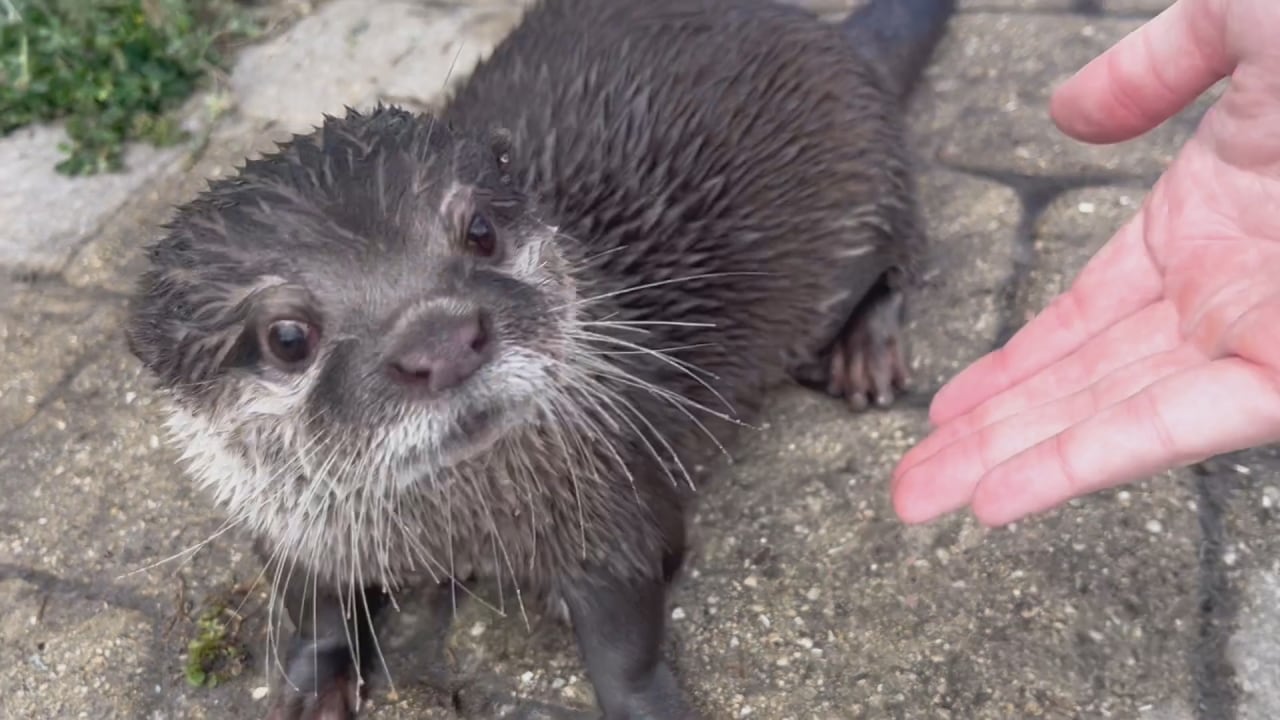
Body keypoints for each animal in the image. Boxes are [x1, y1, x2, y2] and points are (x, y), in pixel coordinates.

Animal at [124, 0, 956, 717]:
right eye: (287, 337)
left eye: (480, 231)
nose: (440, 341)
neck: (450, 538)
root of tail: (829, 38)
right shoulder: (287, 528)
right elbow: (312, 607)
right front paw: (311, 683)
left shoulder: (618, 497)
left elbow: (627, 640)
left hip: (863, 188)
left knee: (902, 247)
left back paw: (863, 350)